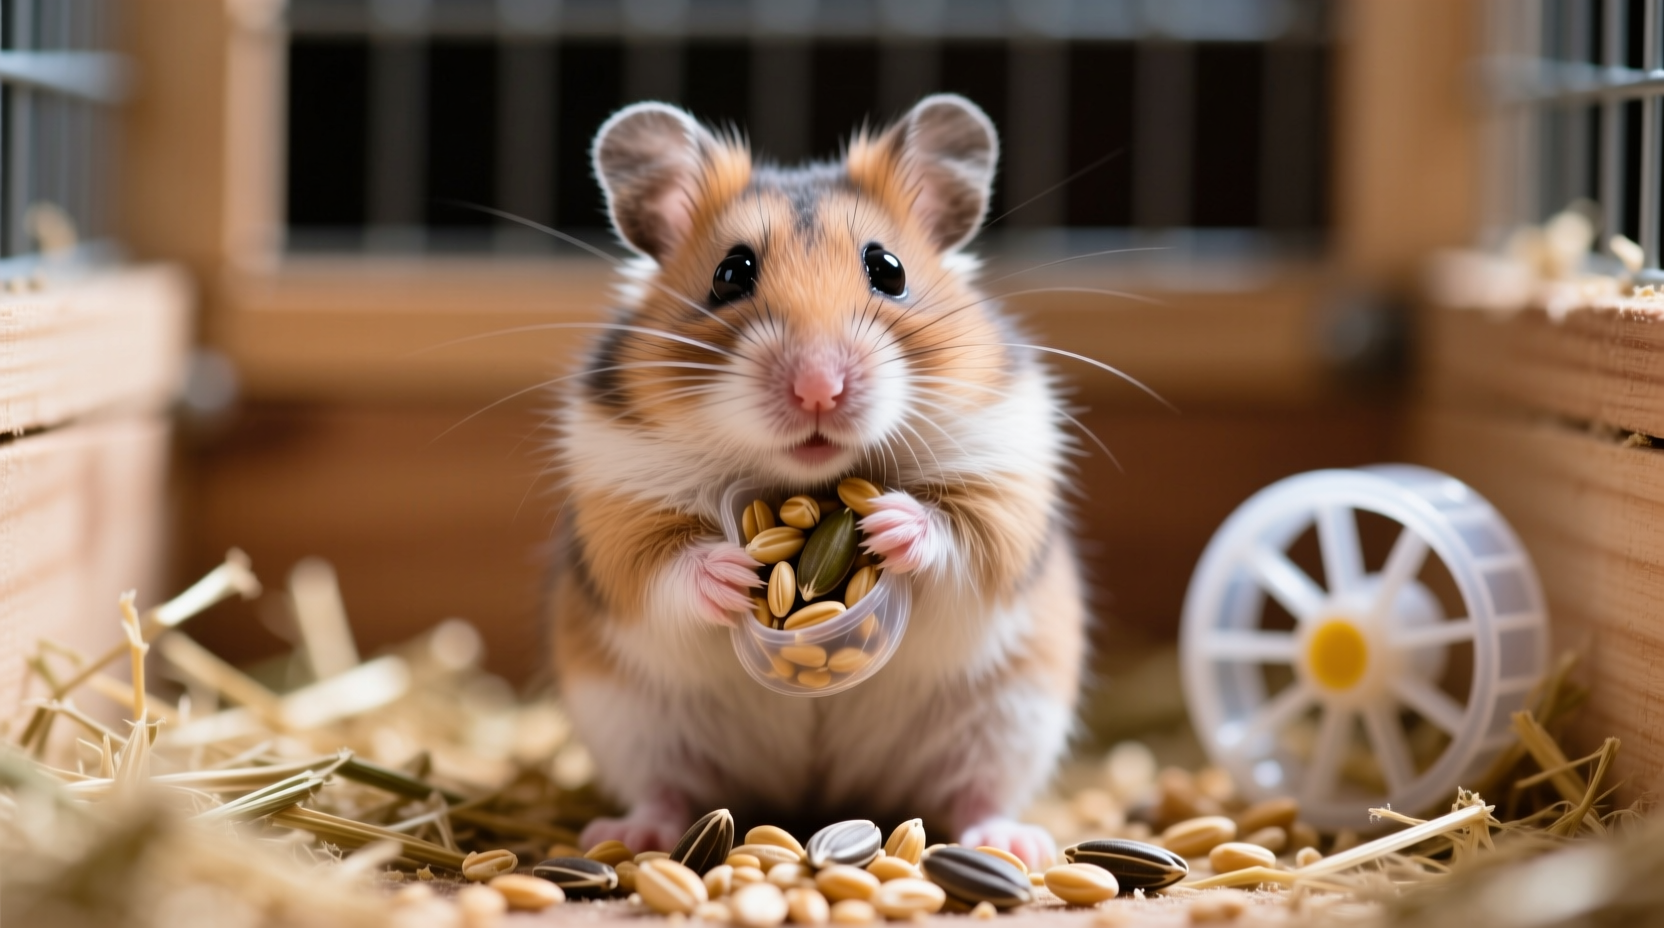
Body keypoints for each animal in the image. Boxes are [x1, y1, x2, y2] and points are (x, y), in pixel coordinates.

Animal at [549, 94, 1087, 868]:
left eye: (888, 269)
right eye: (730, 273)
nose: (817, 389)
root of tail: (819, 798)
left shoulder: (1005, 482)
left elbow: (962, 538)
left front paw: (889, 524)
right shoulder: (617, 501)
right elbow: (662, 569)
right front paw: (732, 572)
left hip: (1010, 716)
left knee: (976, 793)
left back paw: (1016, 844)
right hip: (633, 723)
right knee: (666, 788)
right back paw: (629, 835)